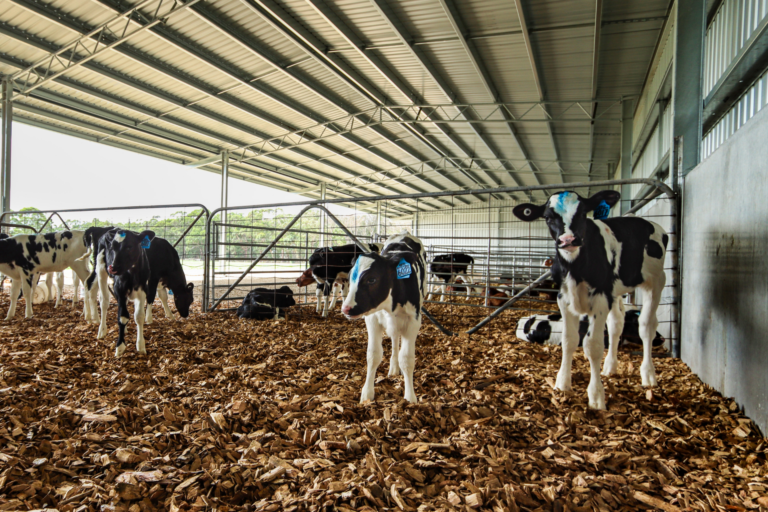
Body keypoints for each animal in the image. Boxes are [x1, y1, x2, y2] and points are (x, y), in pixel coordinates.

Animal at [84, 228, 155, 357]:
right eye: (112, 247)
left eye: (129, 246)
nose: (112, 267)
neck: (132, 273)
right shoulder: (120, 288)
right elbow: (122, 317)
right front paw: (120, 346)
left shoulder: (143, 289)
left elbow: (139, 316)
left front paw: (140, 345)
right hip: (100, 268)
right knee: (104, 301)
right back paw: (102, 330)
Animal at [340, 231, 427, 404]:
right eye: (351, 277)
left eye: (372, 279)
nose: (346, 308)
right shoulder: (372, 319)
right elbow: (373, 355)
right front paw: (367, 393)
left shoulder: (413, 321)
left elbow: (407, 359)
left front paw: (410, 397)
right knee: (394, 338)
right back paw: (393, 366)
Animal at [513, 190, 667, 409]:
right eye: (548, 217)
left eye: (583, 213)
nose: (568, 240)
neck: (575, 268)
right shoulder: (564, 299)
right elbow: (568, 340)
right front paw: (562, 383)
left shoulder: (601, 299)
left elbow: (593, 346)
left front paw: (596, 396)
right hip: (616, 291)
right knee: (616, 325)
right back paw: (610, 367)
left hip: (656, 281)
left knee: (647, 326)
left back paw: (648, 375)